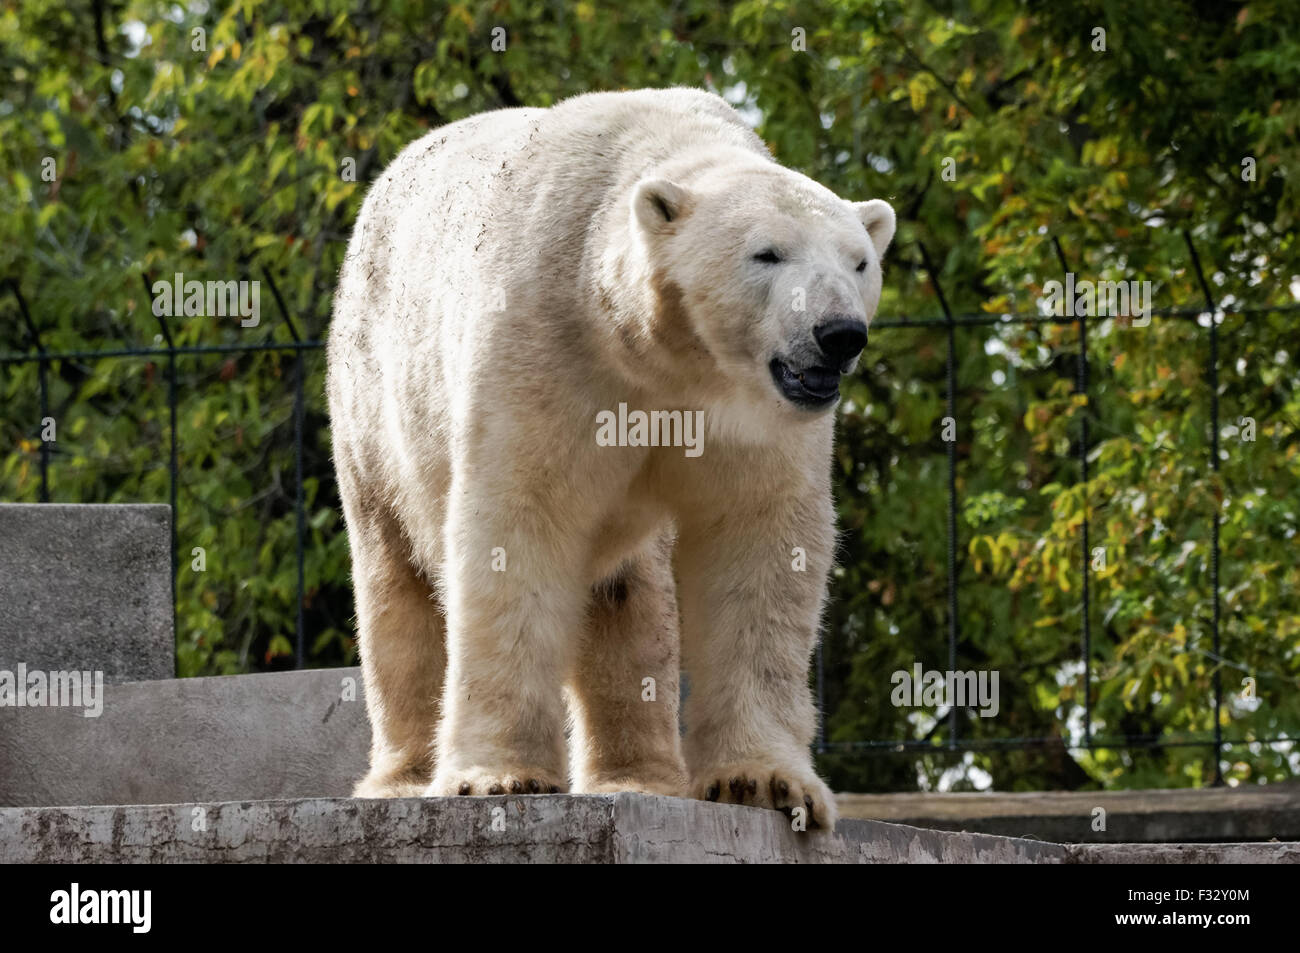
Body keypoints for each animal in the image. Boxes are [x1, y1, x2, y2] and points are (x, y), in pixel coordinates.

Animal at [326, 87, 895, 830]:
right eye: (766, 254)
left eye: (859, 262)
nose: (838, 334)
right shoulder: (544, 343)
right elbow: (516, 528)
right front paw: (495, 777)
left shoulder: (752, 416)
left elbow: (760, 544)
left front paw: (769, 783)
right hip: (372, 411)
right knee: (395, 578)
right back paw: (400, 778)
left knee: (630, 595)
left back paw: (640, 778)